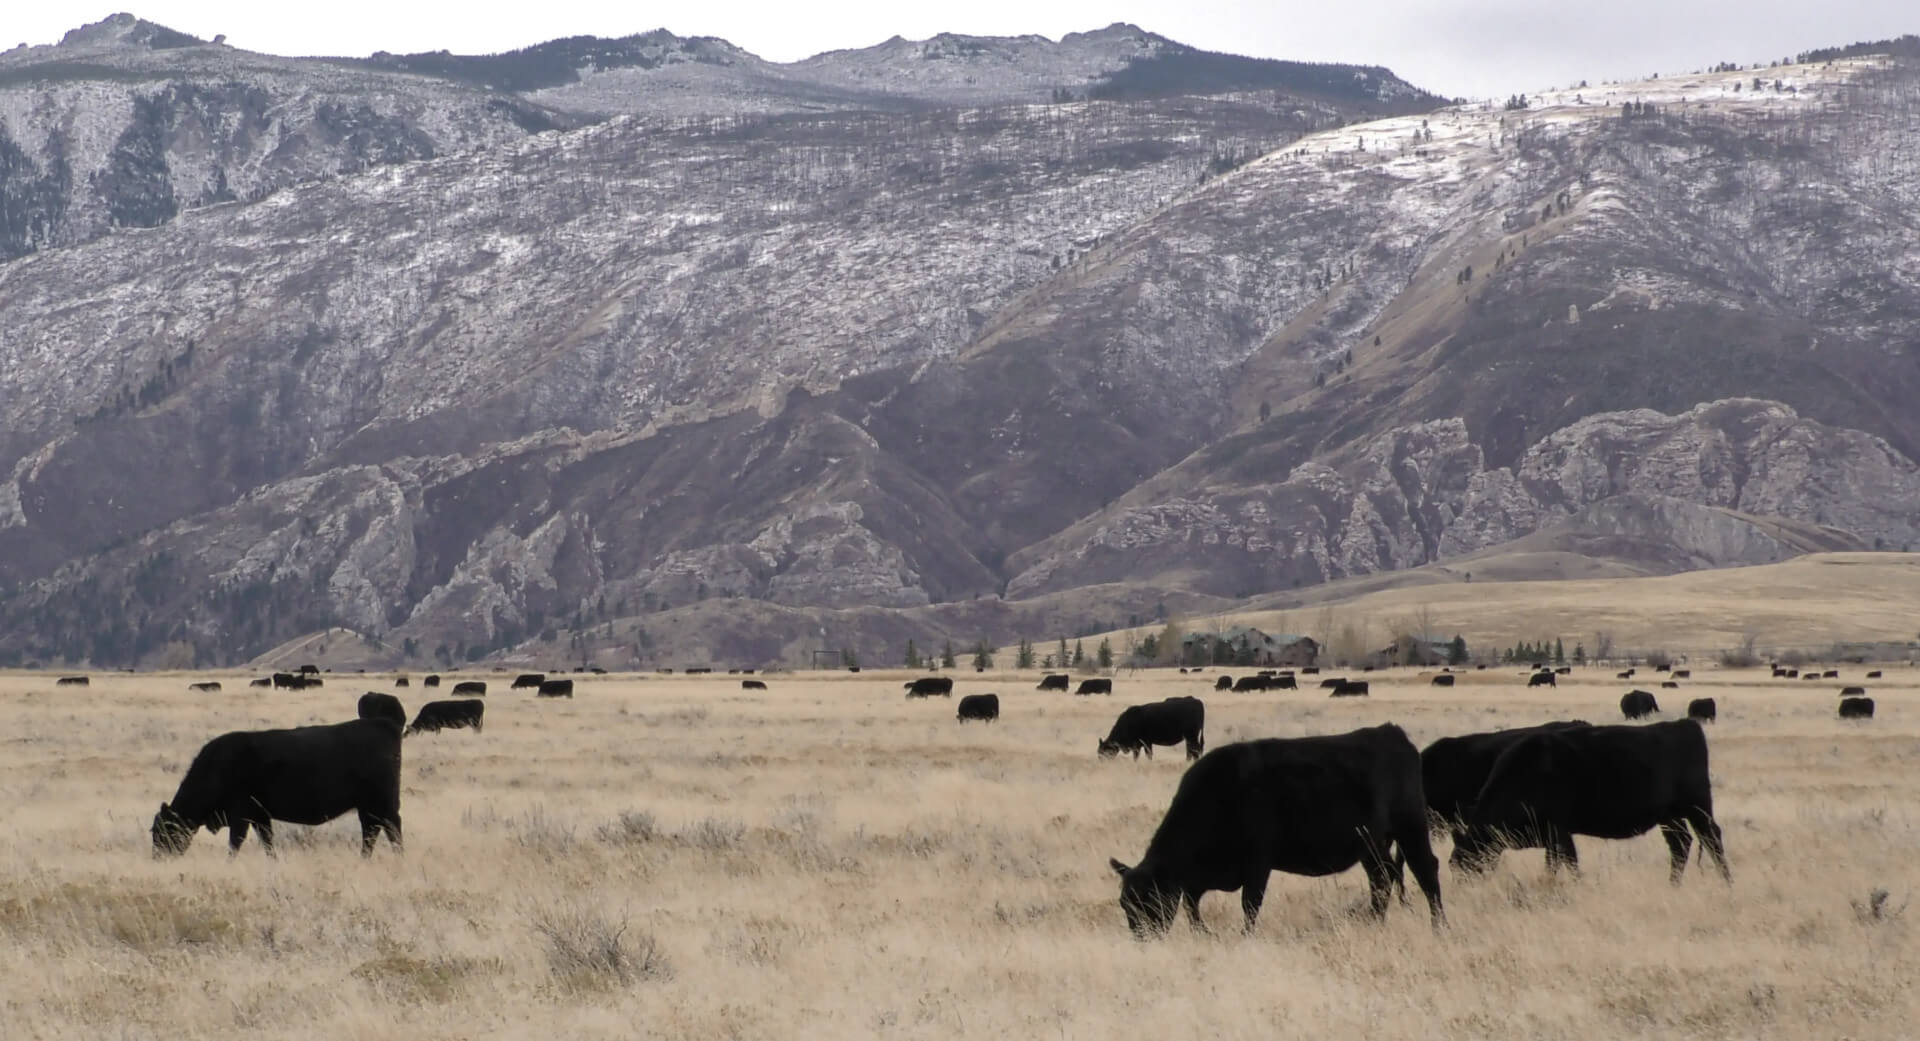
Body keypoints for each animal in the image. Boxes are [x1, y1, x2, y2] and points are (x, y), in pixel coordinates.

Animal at [150, 718, 403, 857]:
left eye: (164, 832)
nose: (159, 858)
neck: (216, 767)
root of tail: (383, 725)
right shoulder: (260, 816)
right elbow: (268, 844)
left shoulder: (240, 814)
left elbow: (235, 843)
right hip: (368, 807)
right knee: (371, 831)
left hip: (382, 803)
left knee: (391, 829)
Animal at [1109, 725, 1443, 936]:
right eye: (1124, 904)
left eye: (1148, 901)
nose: (1141, 938)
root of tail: (1392, 732)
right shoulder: (1201, 877)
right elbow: (1192, 904)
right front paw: (1204, 932)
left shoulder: (1258, 862)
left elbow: (1249, 904)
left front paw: (1245, 936)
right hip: (1371, 844)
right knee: (1382, 878)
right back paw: (1374, 922)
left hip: (1410, 827)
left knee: (1425, 871)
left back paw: (1439, 926)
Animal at [1451, 720, 1729, 884]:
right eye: (1453, 865)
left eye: (1469, 864)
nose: (1463, 890)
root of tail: (1685, 724)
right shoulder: (1553, 837)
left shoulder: (1559, 832)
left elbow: (1567, 863)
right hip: (1670, 816)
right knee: (1680, 844)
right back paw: (1673, 885)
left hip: (1698, 808)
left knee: (1711, 838)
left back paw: (1726, 882)